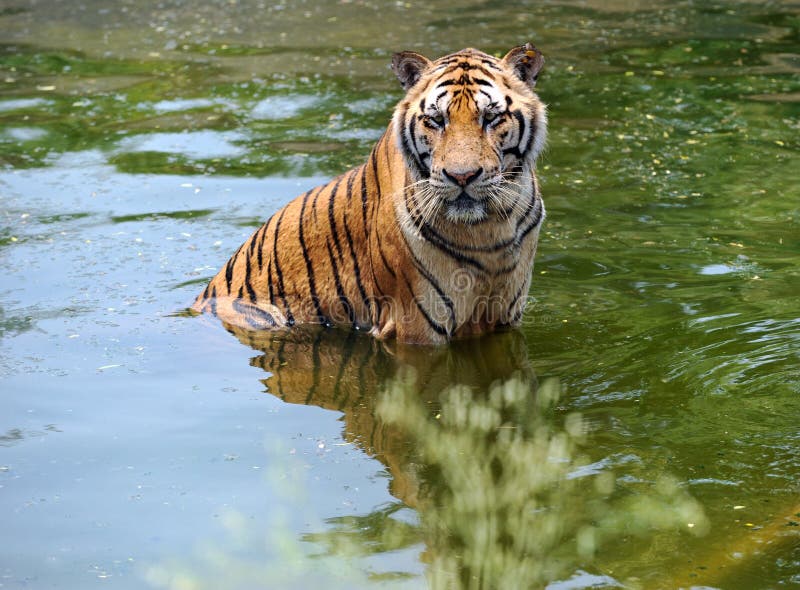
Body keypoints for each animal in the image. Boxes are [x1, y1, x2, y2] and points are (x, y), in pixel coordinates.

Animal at [193, 43, 547, 344]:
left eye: (491, 117)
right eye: (436, 120)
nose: (462, 176)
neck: (487, 230)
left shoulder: (505, 318)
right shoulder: (415, 324)